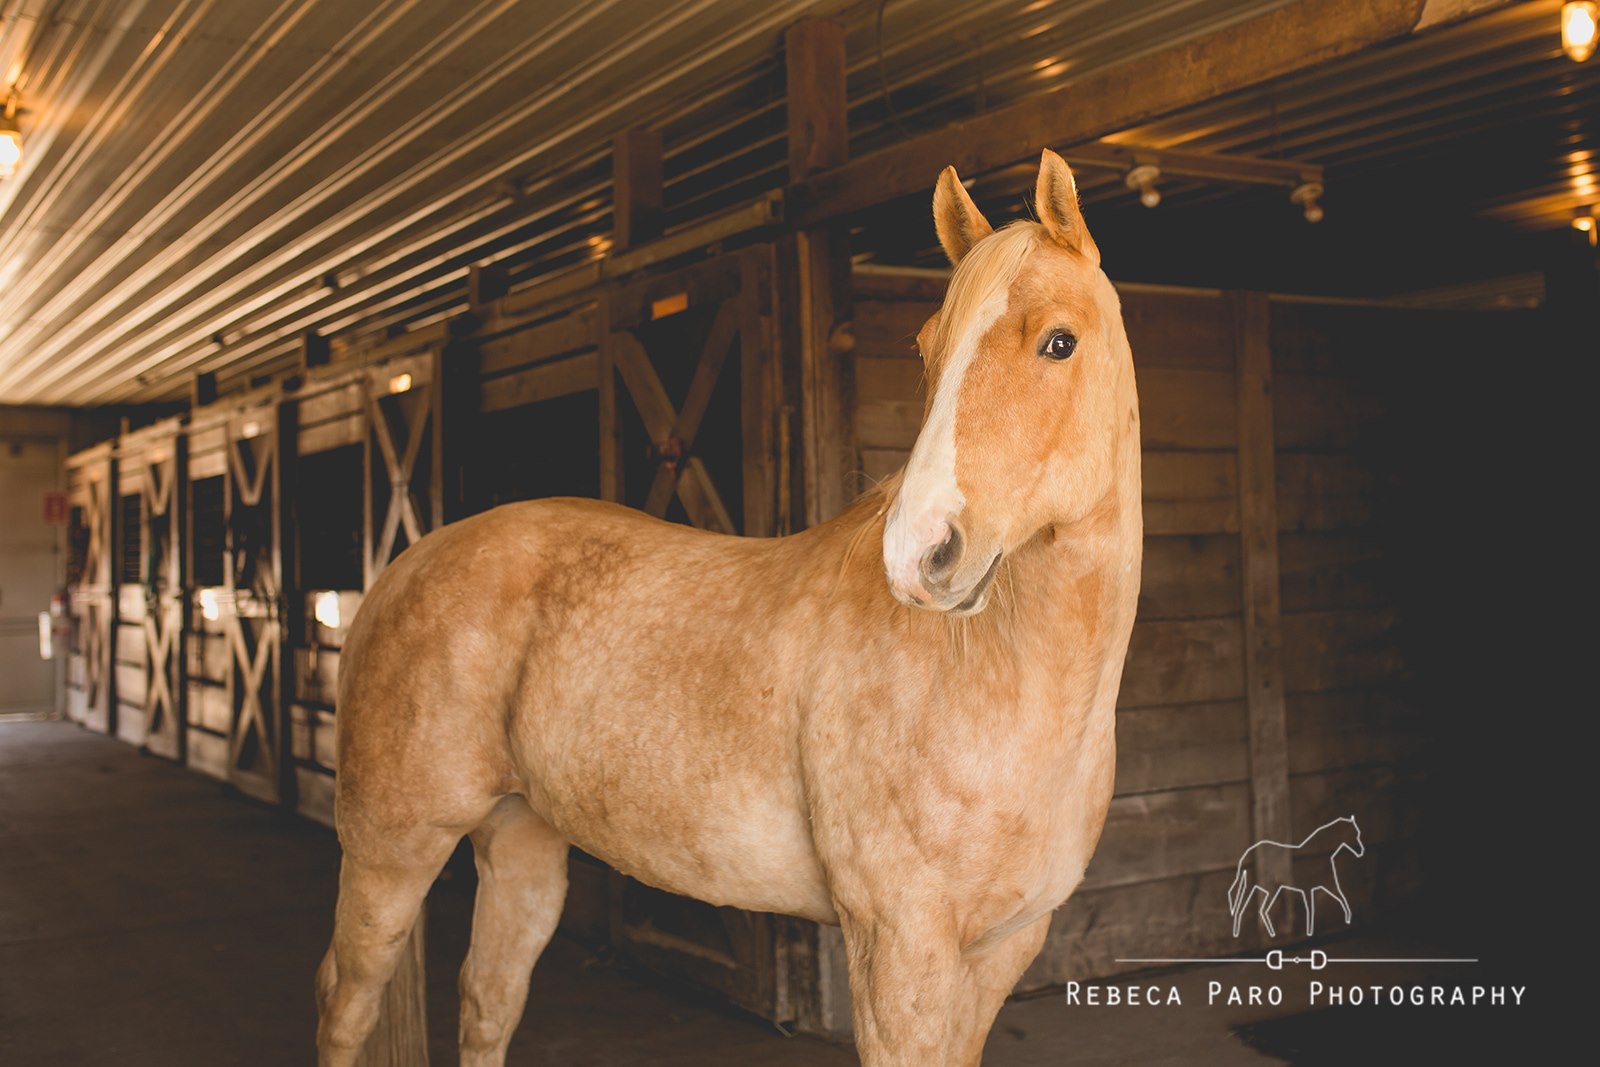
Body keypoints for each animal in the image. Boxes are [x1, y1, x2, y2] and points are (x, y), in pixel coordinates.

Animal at [314, 149, 1142, 1067]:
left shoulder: (1001, 950)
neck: (1002, 682)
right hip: (391, 851)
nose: (918, 551)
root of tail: (405, 565)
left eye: (1059, 342)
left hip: (520, 839)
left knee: (486, 1001)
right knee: (345, 1005)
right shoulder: (900, 950)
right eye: (928, 345)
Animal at [1228, 816, 1366, 939]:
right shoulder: (1312, 889)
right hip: (1263, 888)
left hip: (1261, 889)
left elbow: (1340, 898)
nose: (1360, 851)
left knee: (1251, 909)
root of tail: (1247, 853)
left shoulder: (1324, 887)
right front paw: (1309, 931)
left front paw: (1348, 918)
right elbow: (1312, 909)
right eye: (1356, 833)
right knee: (1252, 909)